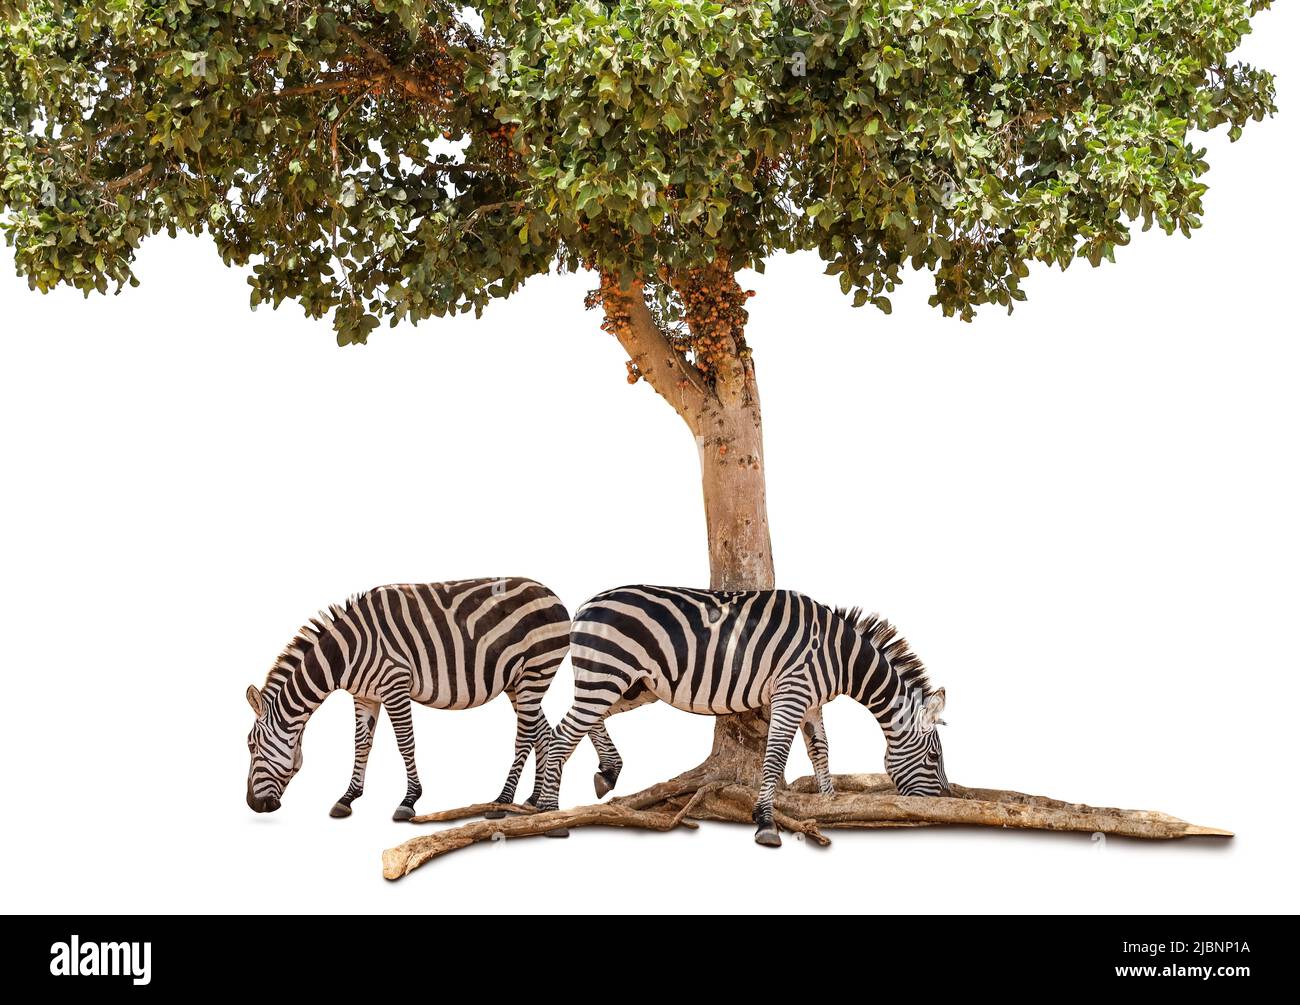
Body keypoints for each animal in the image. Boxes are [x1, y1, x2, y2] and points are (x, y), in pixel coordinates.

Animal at [244, 577, 603, 820]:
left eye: (251, 746)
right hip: (519, 682)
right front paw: (348, 798)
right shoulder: (364, 696)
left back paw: (502, 801)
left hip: (535, 671)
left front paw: (408, 801)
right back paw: (532, 800)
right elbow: (361, 745)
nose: (252, 805)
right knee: (542, 731)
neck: (344, 653)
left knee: (526, 734)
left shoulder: (395, 684)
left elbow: (405, 743)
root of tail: (552, 593)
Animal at [536, 585, 949, 845]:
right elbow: (776, 755)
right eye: (934, 757)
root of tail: (586, 605)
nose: (941, 803)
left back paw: (598, 776)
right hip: (609, 676)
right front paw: (766, 822)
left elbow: (821, 750)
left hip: (630, 684)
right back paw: (548, 815)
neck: (841, 657)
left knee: (577, 724)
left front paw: (830, 804)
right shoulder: (792, 693)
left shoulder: (811, 702)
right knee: (564, 735)